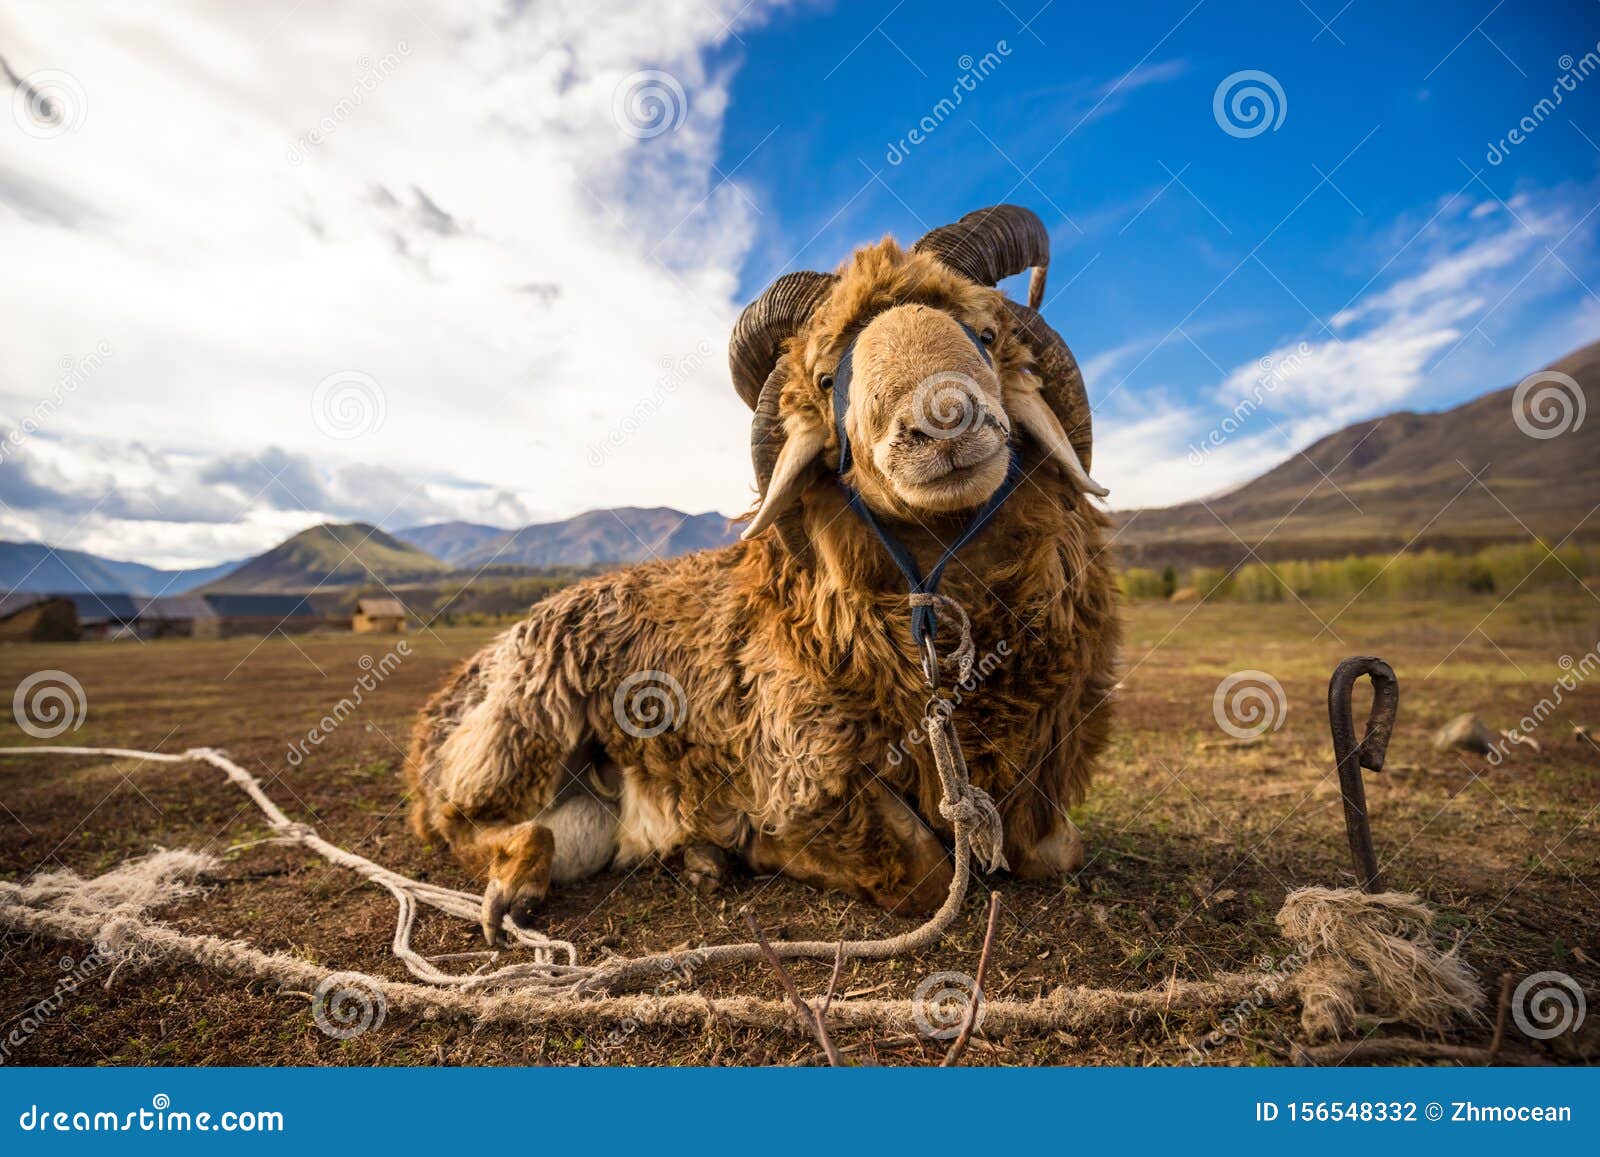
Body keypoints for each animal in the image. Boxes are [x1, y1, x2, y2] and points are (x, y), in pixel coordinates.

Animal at [407, 204, 1121, 945]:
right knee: (463, 822)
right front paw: (763, 846)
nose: (943, 418)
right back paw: (524, 884)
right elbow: (922, 872)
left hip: (586, 809)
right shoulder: (806, 778)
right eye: (829, 379)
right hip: (517, 734)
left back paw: (695, 856)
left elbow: (1059, 848)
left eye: (984, 333)